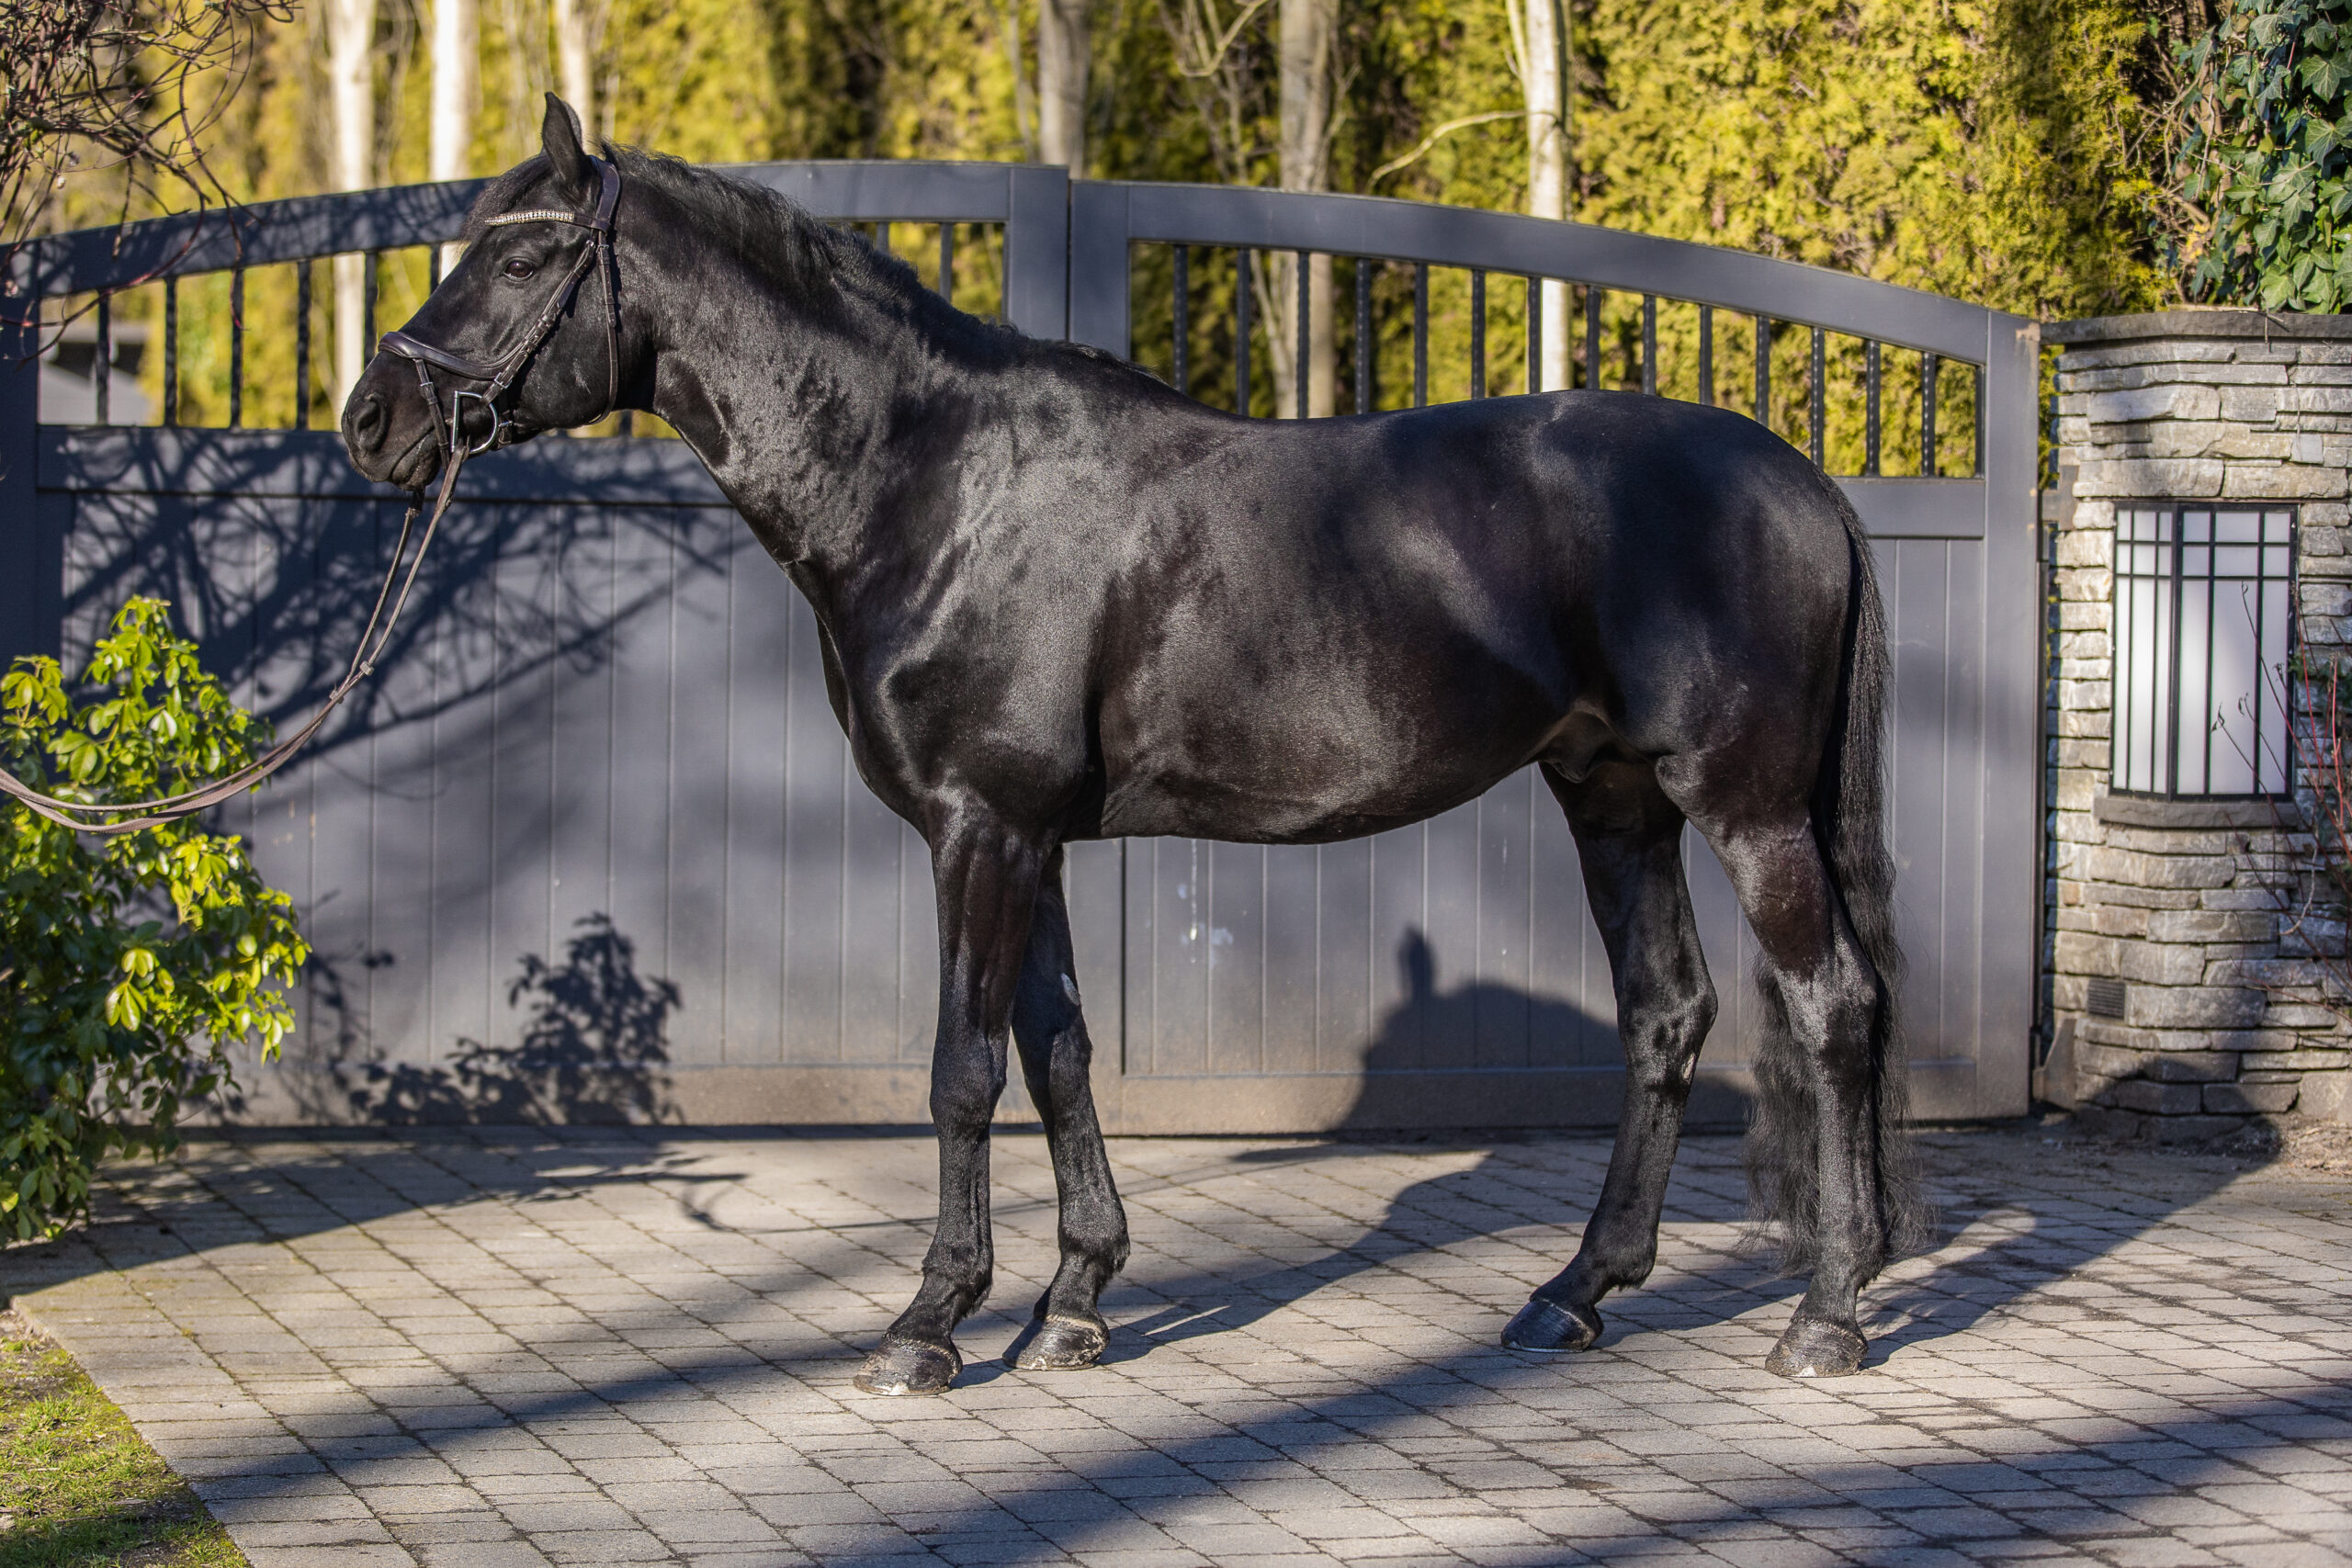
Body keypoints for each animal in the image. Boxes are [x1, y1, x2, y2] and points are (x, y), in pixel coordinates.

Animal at [341, 95, 1927, 1396]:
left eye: (526, 261)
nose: (372, 420)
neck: (936, 483)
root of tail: (1802, 482)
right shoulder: (1025, 834)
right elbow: (1056, 1050)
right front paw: (1075, 1304)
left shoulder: (980, 827)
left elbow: (961, 1069)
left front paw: (930, 1323)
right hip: (1615, 800)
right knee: (1667, 1015)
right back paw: (1576, 1291)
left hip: (1746, 809)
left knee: (1836, 1004)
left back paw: (1829, 1311)